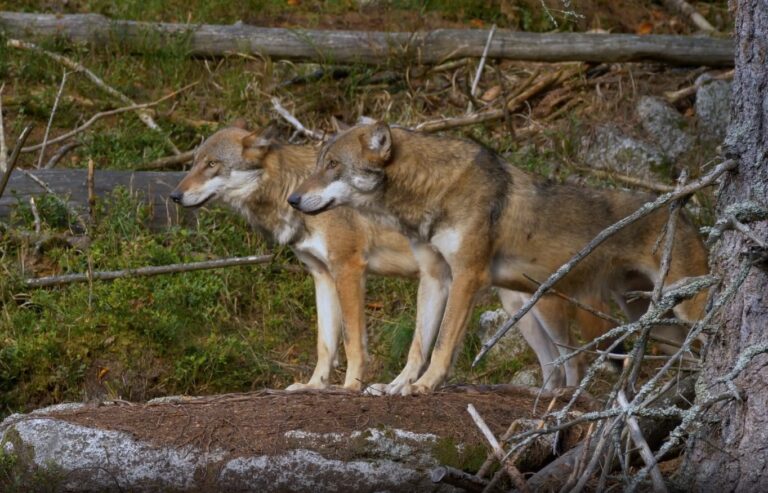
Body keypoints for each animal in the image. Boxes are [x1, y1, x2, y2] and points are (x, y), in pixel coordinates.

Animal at [170, 123, 603, 391]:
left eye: (212, 164)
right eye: (192, 163)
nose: (174, 195)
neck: (289, 191)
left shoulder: (348, 269)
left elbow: (352, 343)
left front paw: (350, 387)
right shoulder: (321, 276)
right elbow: (325, 344)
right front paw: (313, 386)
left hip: (544, 309)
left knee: (575, 362)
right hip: (519, 309)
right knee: (553, 365)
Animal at [288, 122, 708, 395]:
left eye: (332, 165)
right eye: (318, 163)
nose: (292, 199)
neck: (432, 190)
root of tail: (684, 210)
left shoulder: (467, 276)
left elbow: (441, 344)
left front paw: (425, 386)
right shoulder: (434, 277)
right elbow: (418, 345)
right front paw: (397, 384)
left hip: (681, 309)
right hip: (629, 319)